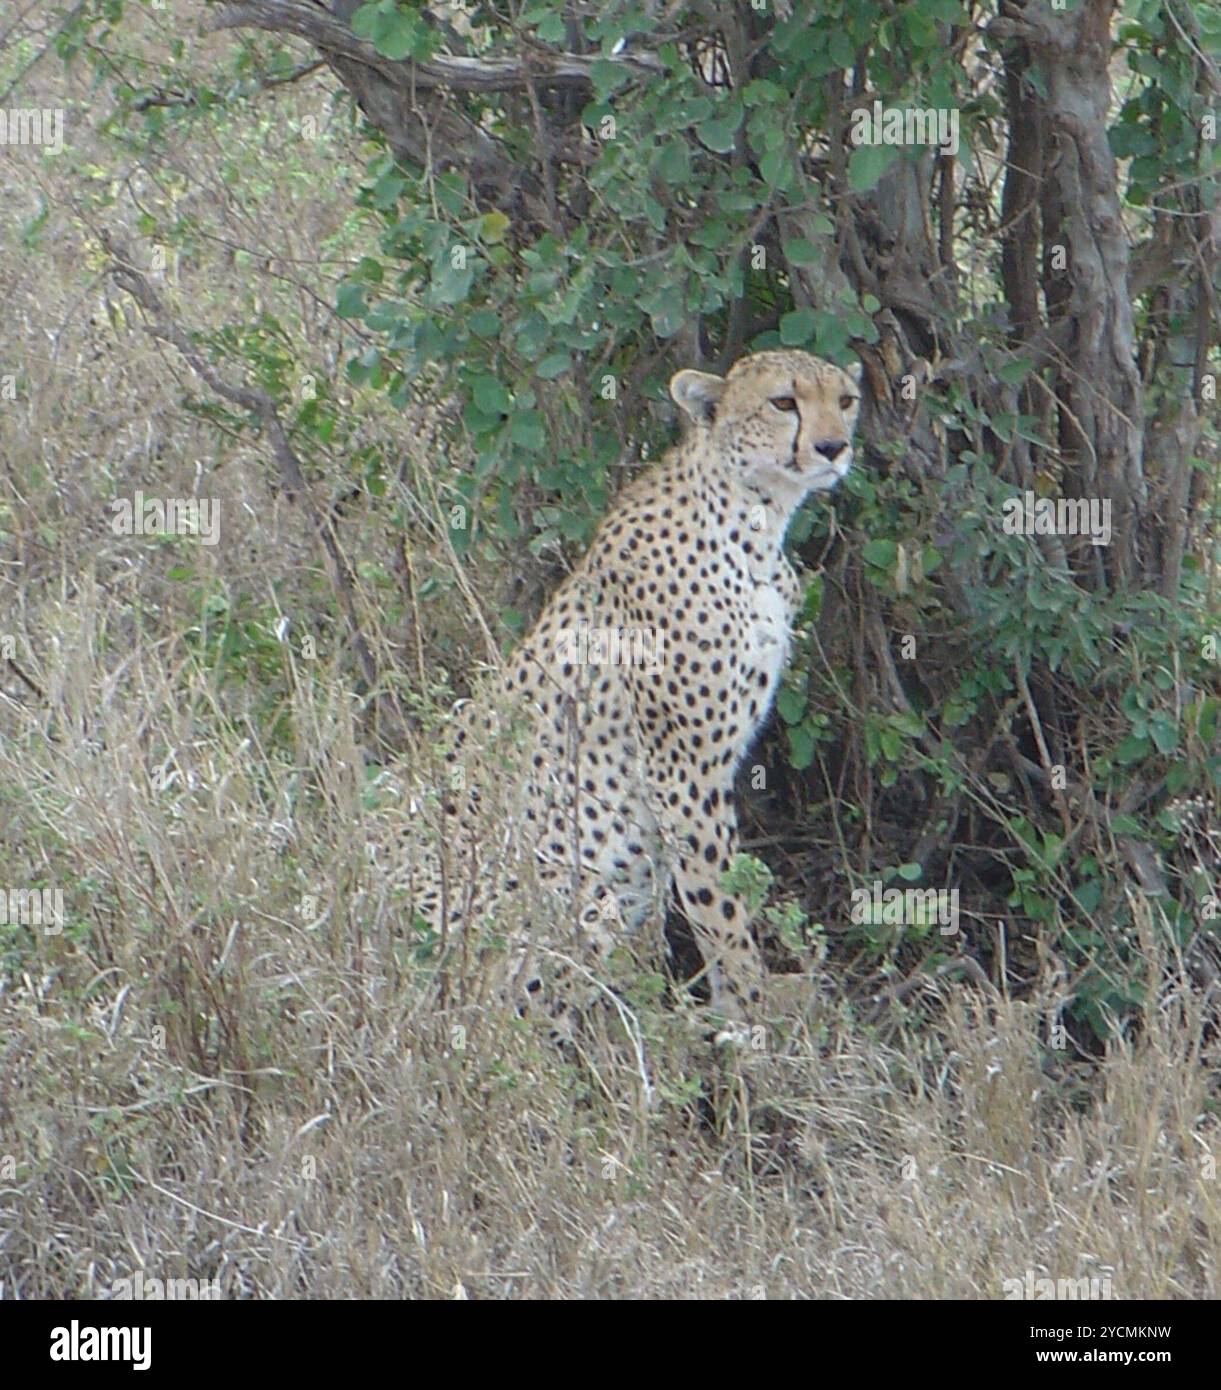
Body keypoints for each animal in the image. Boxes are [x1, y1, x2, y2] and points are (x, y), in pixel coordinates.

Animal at [382, 349, 861, 1041]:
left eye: (846, 400)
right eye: (783, 402)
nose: (833, 447)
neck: (753, 516)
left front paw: (738, 1003)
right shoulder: (683, 766)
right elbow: (718, 900)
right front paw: (750, 1012)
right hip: (565, 894)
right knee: (525, 1021)